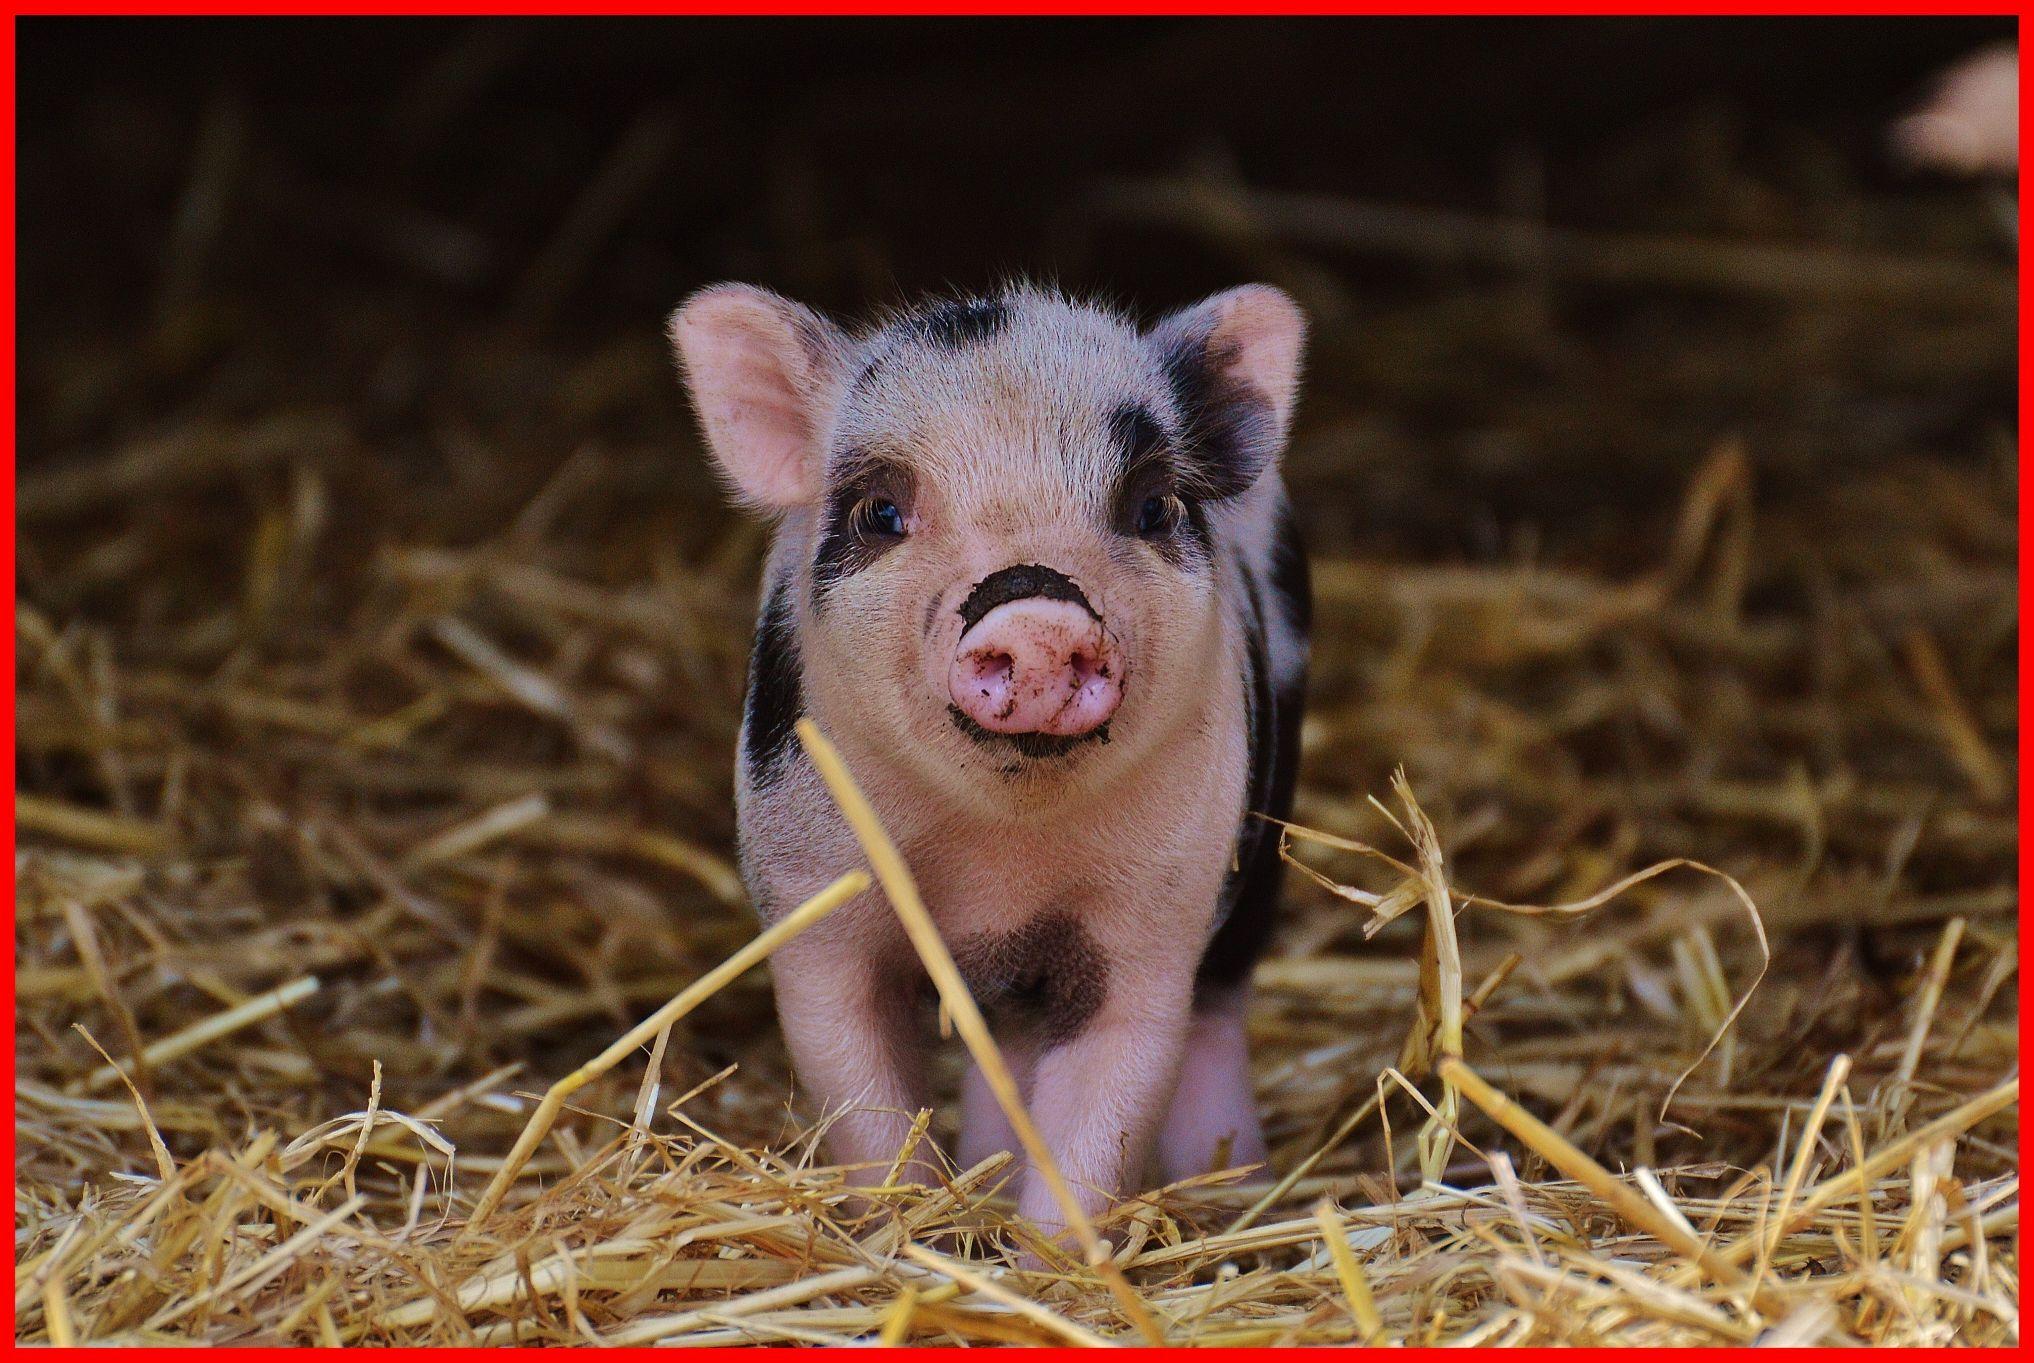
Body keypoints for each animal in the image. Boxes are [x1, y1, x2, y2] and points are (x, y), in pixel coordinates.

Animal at [666, 281, 1310, 1247]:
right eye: (880, 512)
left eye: (1153, 507)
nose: (1037, 612)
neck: (998, 865)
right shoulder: (811, 900)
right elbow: (862, 1097)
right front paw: (913, 1236)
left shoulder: (1153, 920)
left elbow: (1108, 1103)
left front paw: (1050, 1262)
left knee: (1216, 1012)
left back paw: (1233, 1191)